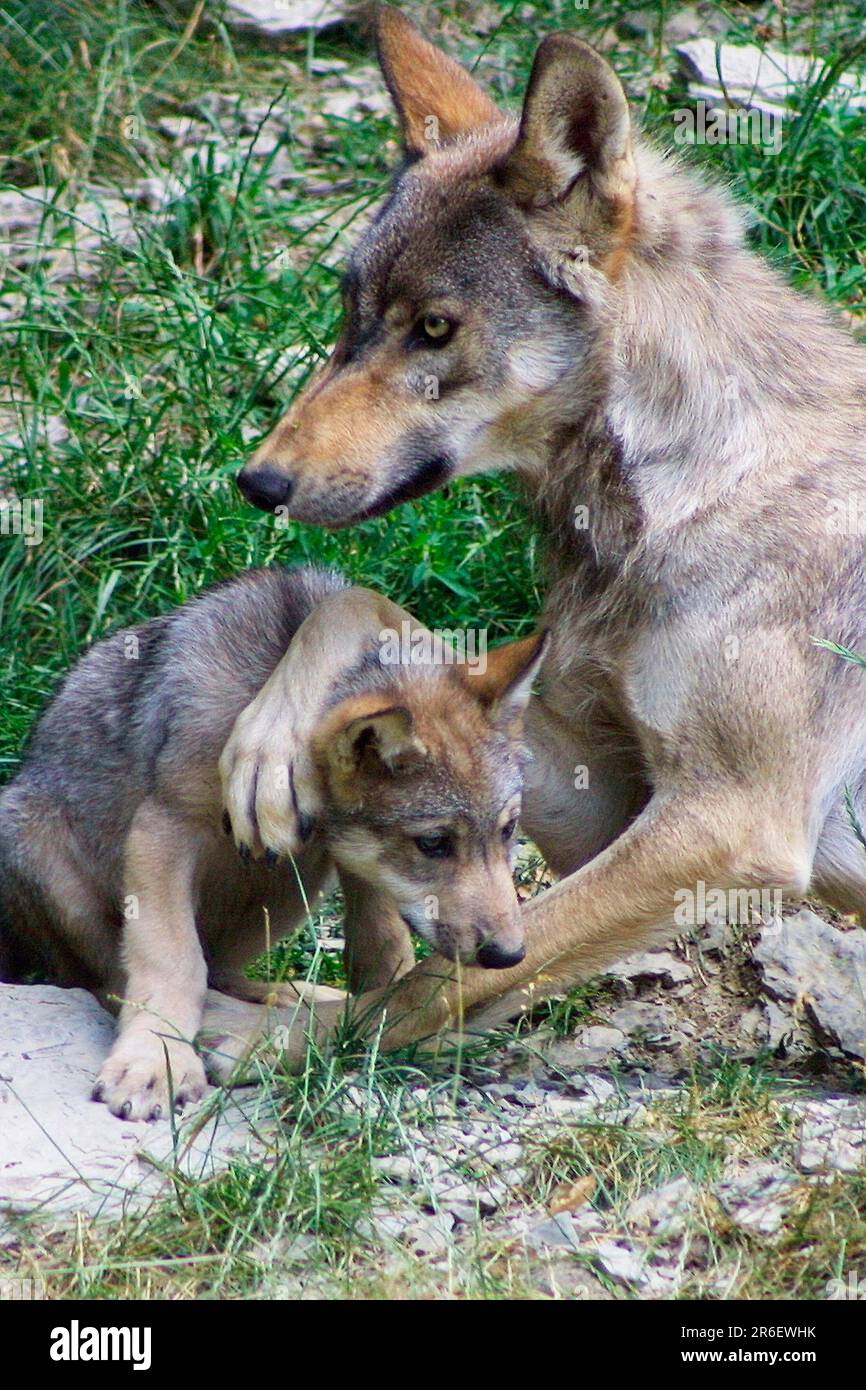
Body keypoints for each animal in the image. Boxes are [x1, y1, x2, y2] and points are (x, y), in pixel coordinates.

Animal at [0, 565, 543, 1118]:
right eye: (433, 843)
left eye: (508, 831)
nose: (510, 956)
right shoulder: (164, 828)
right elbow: (171, 960)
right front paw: (155, 1058)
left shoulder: (348, 858)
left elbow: (384, 945)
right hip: (36, 844)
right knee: (111, 977)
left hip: (291, 873)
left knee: (219, 968)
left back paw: (285, 996)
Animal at [223, 8, 866, 1061]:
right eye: (351, 314)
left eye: (435, 329)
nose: (257, 482)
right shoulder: (607, 806)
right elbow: (362, 606)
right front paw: (273, 746)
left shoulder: (731, 825)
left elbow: (437, 983)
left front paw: (259, 1042)